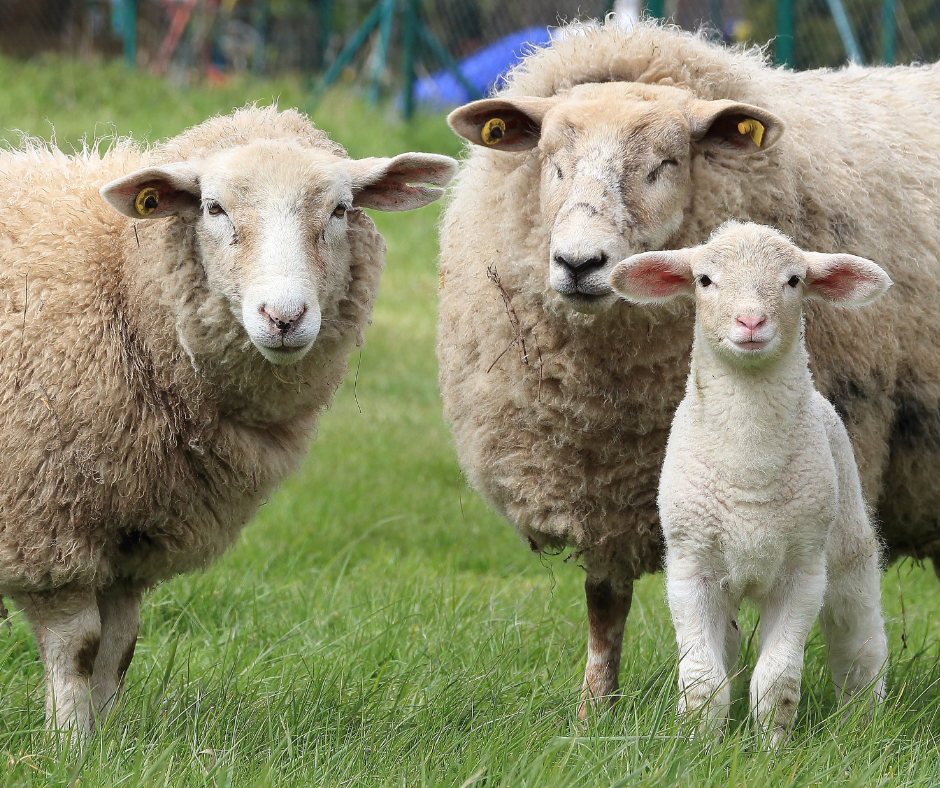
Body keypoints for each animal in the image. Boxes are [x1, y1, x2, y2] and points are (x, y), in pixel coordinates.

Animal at [0, 105, 457, 737]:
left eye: (340, 209)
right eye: (213, 208)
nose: (284, 317)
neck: (119, 287)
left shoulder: (130, 535)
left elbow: (119, 648)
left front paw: (110, 743)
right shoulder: (44, 525)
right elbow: (79, 647)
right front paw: (71, 745)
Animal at [610, 221, 889, 745]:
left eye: (794, 280)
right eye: (704, 280)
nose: (751, 322)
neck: (749, 471)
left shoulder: (803, 573)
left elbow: (777, 681)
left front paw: (771, 748)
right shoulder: (690, 568)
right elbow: (703, 681)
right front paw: (699, 744)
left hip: (847, 546)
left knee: (859, 641)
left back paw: (862, 723)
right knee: (729, 644)